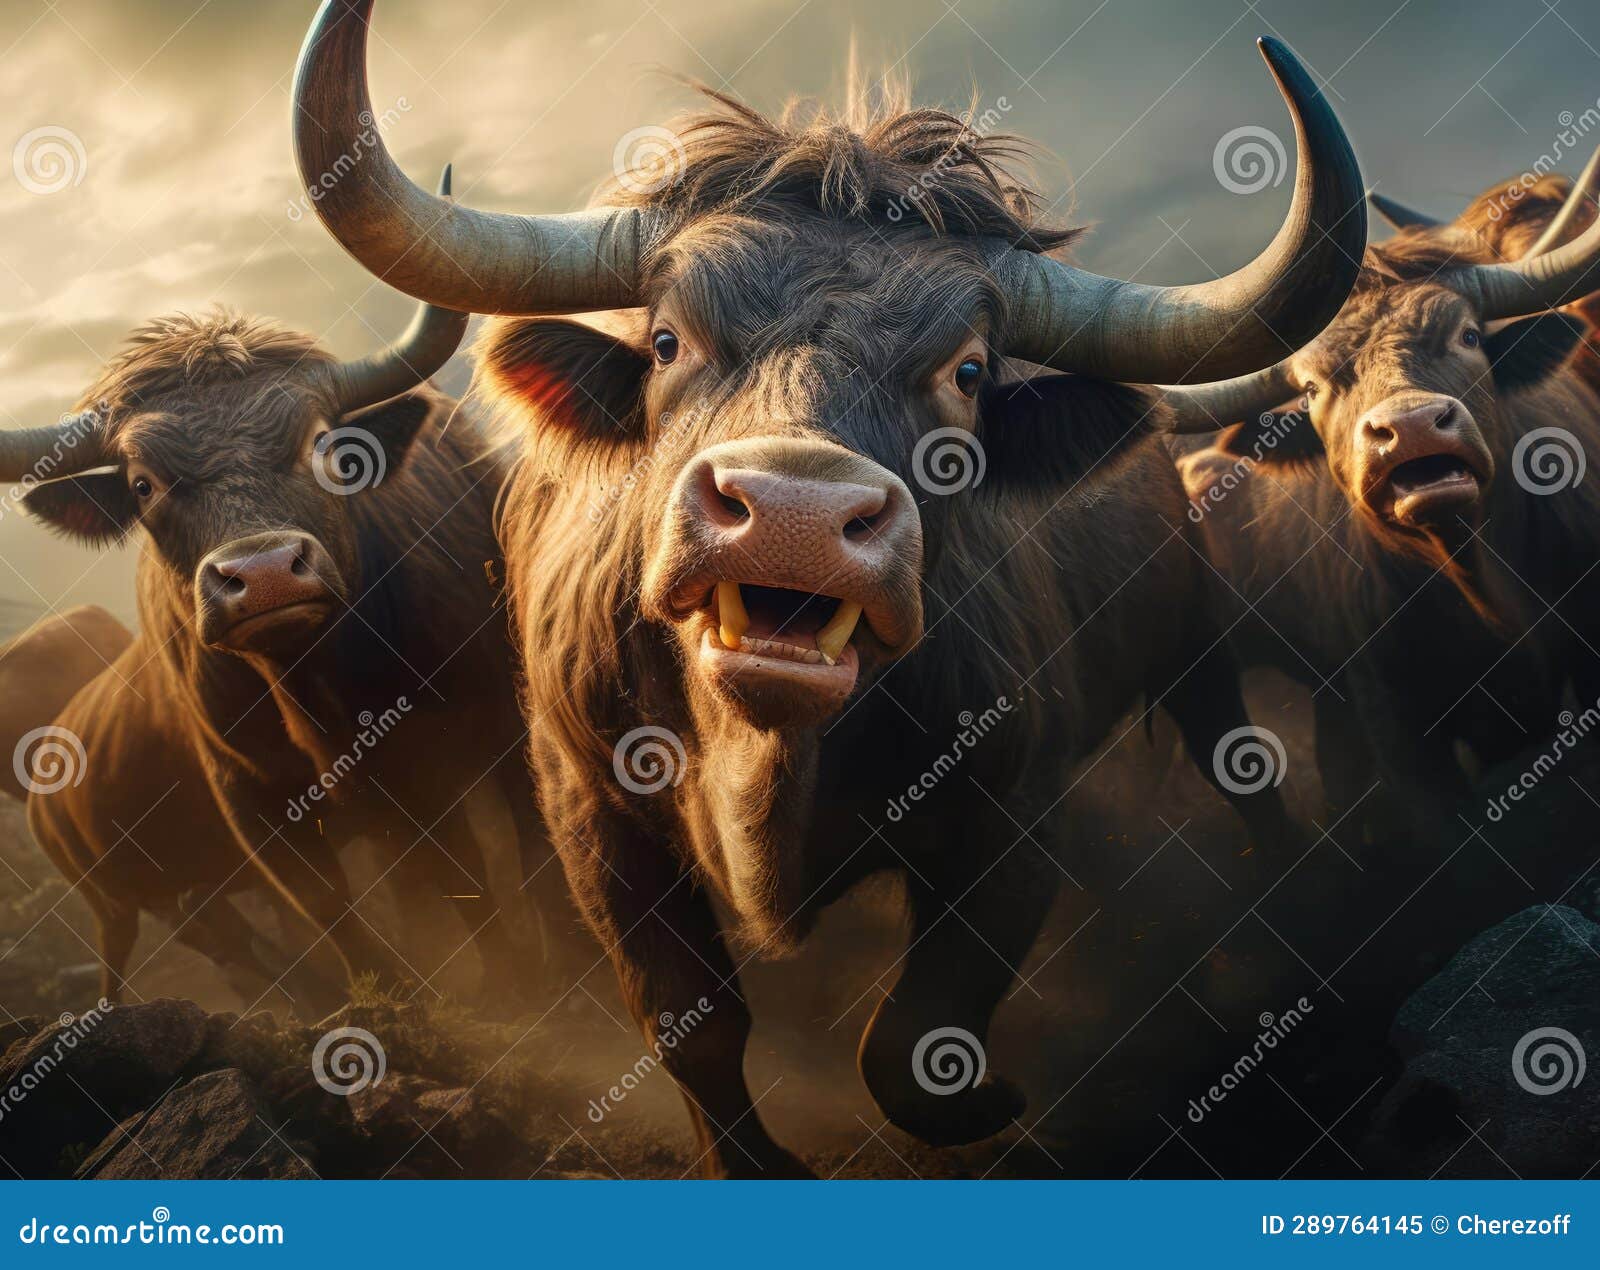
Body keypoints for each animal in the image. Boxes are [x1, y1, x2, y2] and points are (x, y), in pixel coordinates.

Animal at [1, 272, 558, 1017]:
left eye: (328, 447)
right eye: (143, 484)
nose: (263, 575)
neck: (316, 693)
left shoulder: (480, 737)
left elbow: (496, 860)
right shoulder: (251, 800)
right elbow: (331, 905)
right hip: (125, 902)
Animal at [294, 0, 1367, 1174]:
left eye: (969, 371)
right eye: (666, 340)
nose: (796, 516)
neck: (765, 764)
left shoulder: (1012, 817)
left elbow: (905, 1037)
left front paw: (986, 1102)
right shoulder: (591, 819)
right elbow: (694, 1029)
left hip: (1196, 650)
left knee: (1238, 765)